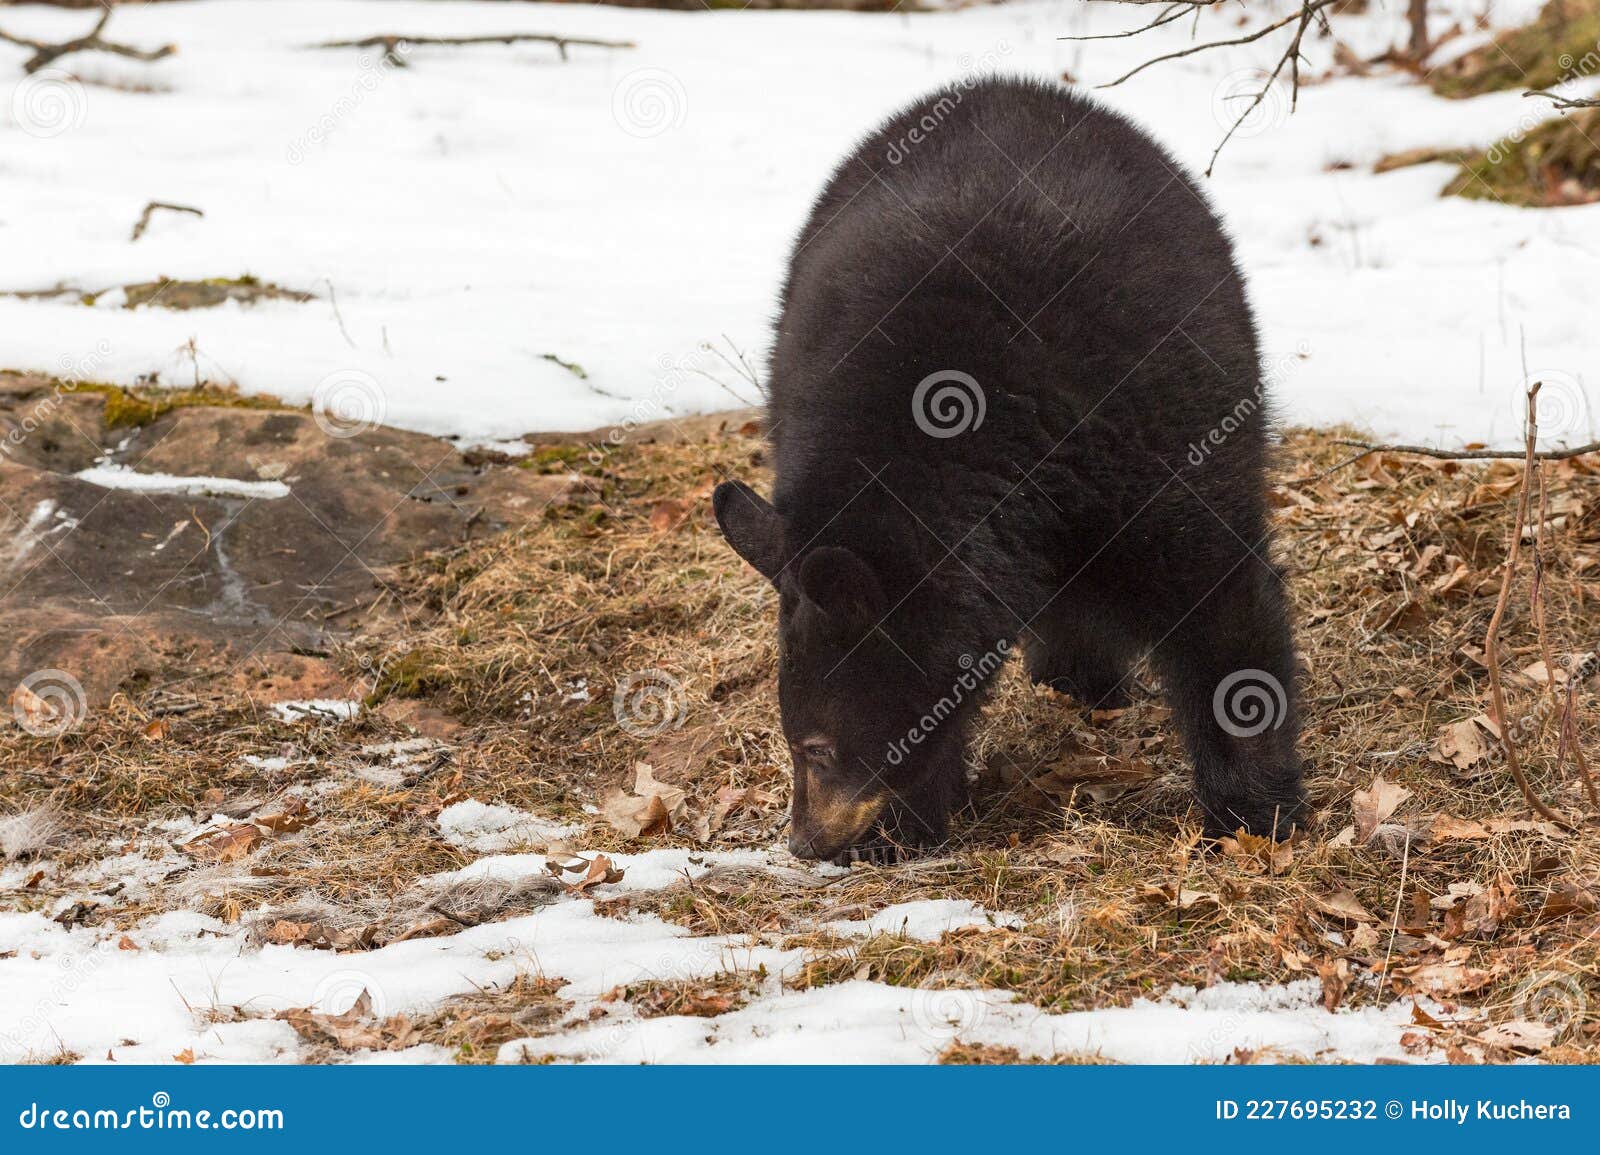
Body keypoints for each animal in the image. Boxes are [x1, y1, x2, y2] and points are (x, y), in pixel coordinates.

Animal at [713, 76, 1304, 863]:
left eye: (817, 747)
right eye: (793, 739)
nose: (805, 840)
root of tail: (1009, 85)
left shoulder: (1158, 434)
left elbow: (1219, 602)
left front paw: (1253, 809)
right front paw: (909, 822)